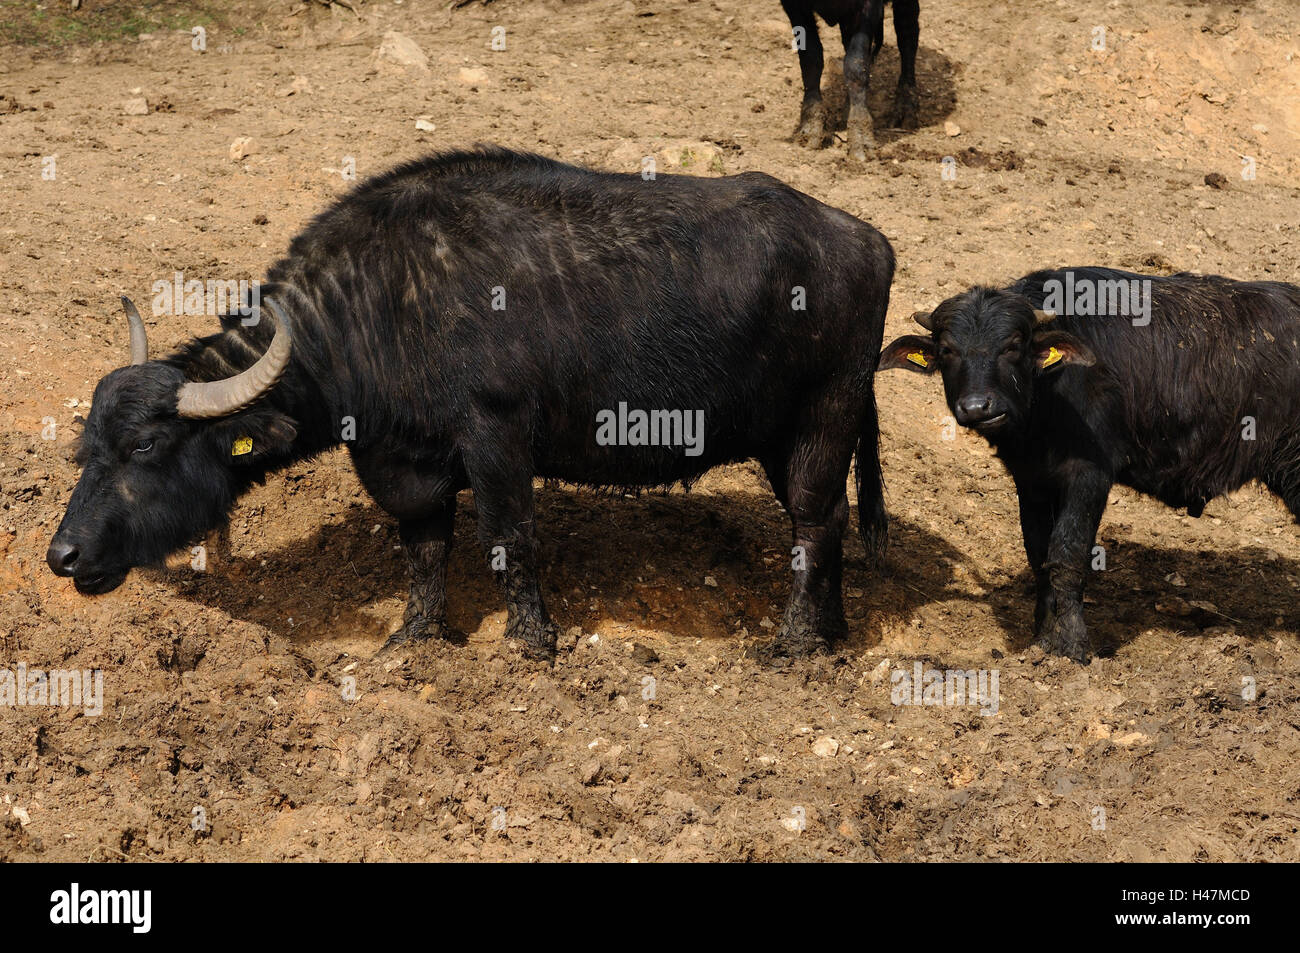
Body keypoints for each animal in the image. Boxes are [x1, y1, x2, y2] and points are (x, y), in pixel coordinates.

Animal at [48, 147, 894, 659]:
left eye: (146, 447)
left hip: (824, 420)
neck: (378, 307)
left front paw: (531, 642)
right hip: (792, 435)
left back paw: (791, 644)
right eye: (86, 449)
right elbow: (424, 547)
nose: (64, 555)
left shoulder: (496, 438)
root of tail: (866, 239)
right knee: (828, 529)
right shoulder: (401, 463)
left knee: (816, 523)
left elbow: (509, 537)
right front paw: (413, 636)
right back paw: (830, 633)